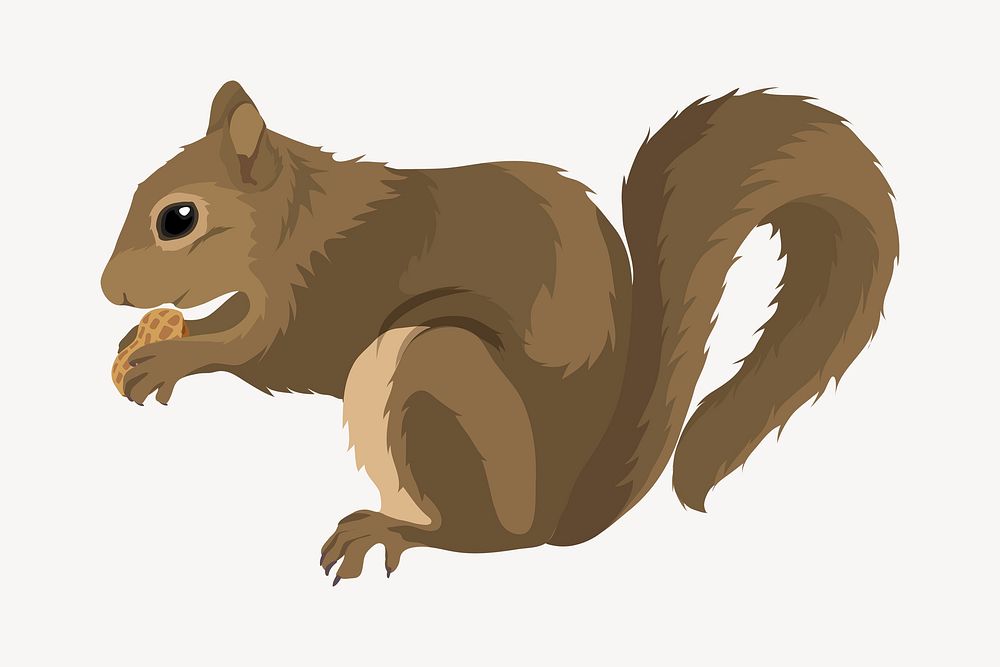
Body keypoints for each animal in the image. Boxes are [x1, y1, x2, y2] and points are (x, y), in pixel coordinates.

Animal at [101, 81, 897, 583]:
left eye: (178, 218)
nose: (110, 290)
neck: (304, 220)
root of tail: (563, 516)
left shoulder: (328, 294)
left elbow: (261, 350)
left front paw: (169, 358)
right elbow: (233, 322)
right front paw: (145, 339)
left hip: (435, 372)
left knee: (484, 538)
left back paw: (391, 529)